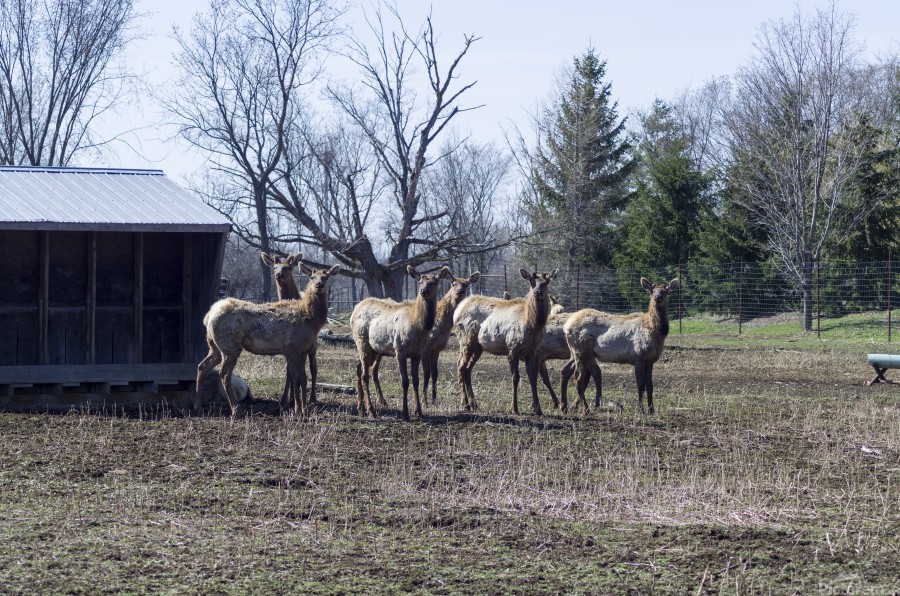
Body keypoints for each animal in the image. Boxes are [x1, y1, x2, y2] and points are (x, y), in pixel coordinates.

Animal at [195, 261, 340, 417]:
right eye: (312, 277)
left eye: (326, 276)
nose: (319, 285)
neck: (311, 321)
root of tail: (208, 317)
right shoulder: (292, 347)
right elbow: (296, 379)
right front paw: (296, 411)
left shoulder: (303, 351)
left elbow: (303, 379)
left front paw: (305, 410)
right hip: (230, 346)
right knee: (224, 374)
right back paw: (235, 409)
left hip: (215, 346)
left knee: (203, 366)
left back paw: (199, 408)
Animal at [351, 265, 451, 420]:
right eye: (420, 282)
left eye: (434, 282)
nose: (424, 291)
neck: (419, 327)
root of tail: (354, 312)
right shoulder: (400, 350)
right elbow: (405, 381)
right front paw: (405, 412)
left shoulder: (417, 353)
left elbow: (416, 380)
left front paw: (418, 411)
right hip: (362, 342)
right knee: (364, 375)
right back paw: (371, 411)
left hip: (374, 349)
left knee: (359, 369)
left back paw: (361, 409)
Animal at [421, 271, 481, 404]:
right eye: (453, 283)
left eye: (466, 284)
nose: (460, 291)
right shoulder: (426, 348)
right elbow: (426, 374)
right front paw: (424, 402)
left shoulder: (436, 349)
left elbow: (435, 373)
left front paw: (434, 400)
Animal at [454, 268, 559, 416]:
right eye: (532, 282)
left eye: (546, 282)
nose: (537, 292)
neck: (533, 326)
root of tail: (457, 311)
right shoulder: (512, 347)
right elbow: (515, 378)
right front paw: (514, 408)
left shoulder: (532, 352)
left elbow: (533, 378)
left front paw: (538, 410)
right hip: (466, 340)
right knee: (461, 367)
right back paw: (465, 404)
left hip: (478, 347)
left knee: (467, 369)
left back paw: (474, 404)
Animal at [563, 278, 680, 414]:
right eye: (652, 291)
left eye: (665, 291)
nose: (657, 297)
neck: (657, 332)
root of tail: (566, 326)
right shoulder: (638, 356)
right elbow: (641, 385)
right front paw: (640, 410)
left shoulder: (650, 360)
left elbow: (650, 386)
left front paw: (652, 410)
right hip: (581, 350)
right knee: (578, 379)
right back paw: (585, 409)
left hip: (577, 352)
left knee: (566, 372)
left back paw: (564, 407)